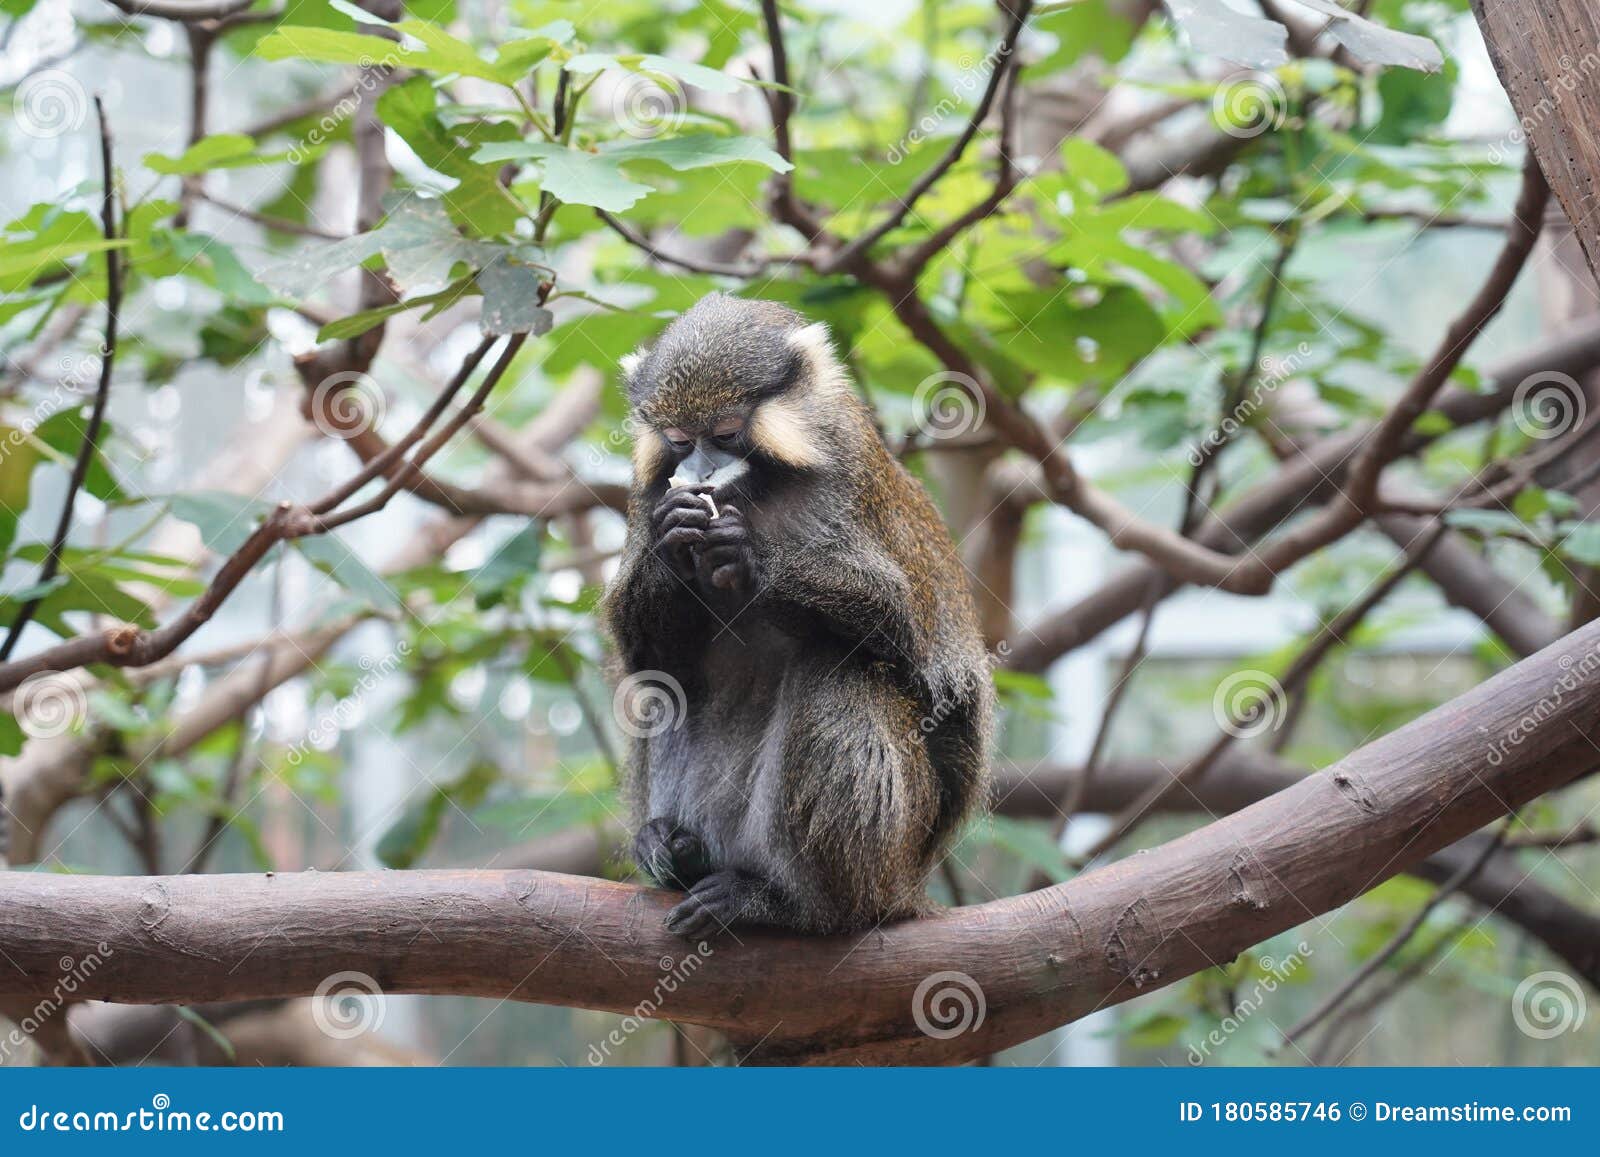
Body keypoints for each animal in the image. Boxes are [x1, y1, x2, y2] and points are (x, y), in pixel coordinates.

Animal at [601, 293, 993, 939]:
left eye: (727, 432)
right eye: (679, 440)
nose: (699, 475)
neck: (760, 491)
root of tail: (908, 888)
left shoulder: (852, 475)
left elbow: (898, 624)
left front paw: (750, 559)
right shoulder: (644, 494)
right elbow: (653, 663)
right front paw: (672, 544)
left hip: (892, 854)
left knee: (840, 669)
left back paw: (799, 907)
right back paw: (673, 851)